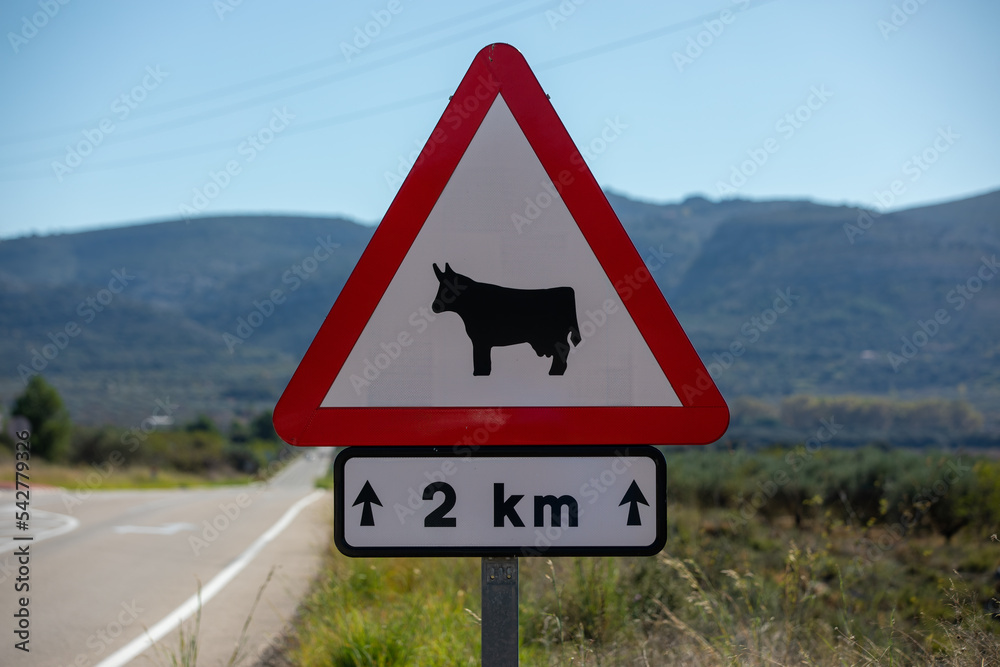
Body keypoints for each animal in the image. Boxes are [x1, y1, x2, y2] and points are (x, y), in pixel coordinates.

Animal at [431, 263, 582, 376]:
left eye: (448, 289)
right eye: (440, 286)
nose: (435, 306)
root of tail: (567, 290)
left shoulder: (481, 341)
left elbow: (480, 359)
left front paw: (479, 372)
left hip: (555, 336)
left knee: (564, 350)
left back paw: (554, 372)